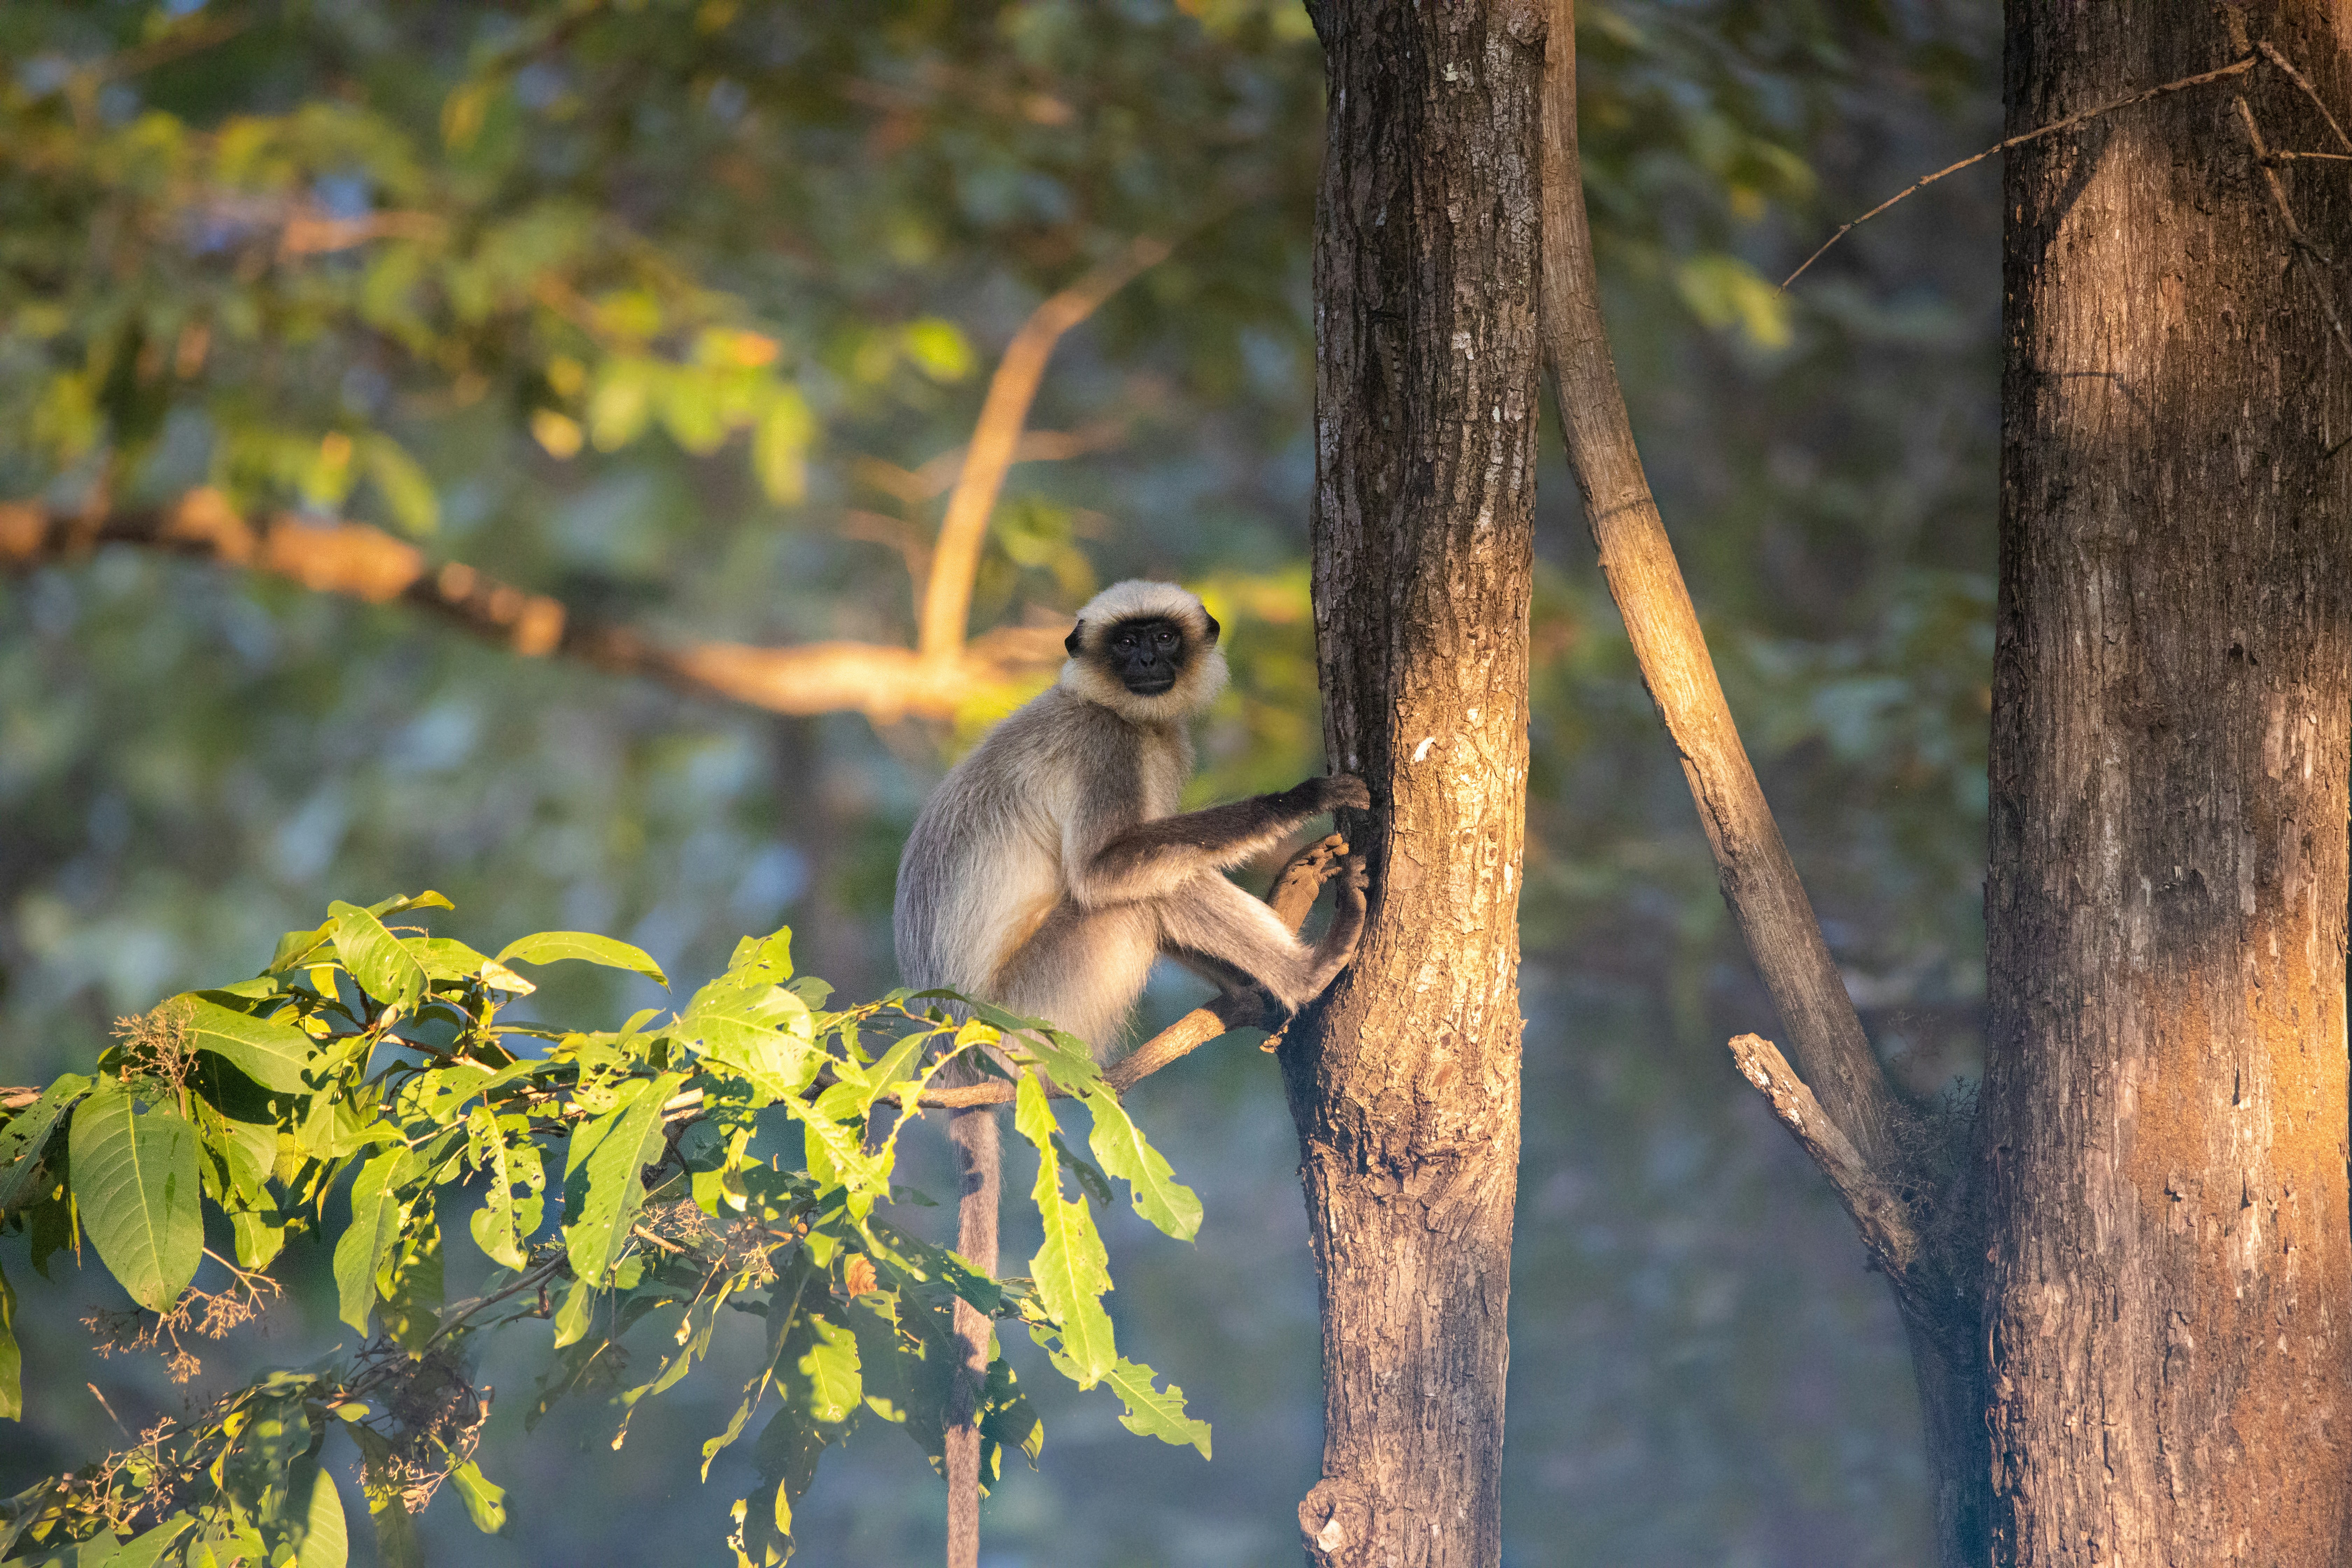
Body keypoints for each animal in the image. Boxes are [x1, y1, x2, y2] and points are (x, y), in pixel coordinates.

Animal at [891, 579, 1370, 1568]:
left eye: (1161, 640)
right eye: (1128, 646)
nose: (1148, 662)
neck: (1108, 705)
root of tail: (957, 1046)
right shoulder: (1113, 747)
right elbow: (1113, 869)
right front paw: (1304, 799)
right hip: (1040, 1011)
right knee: (1132, 895)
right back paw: (1312, 967)